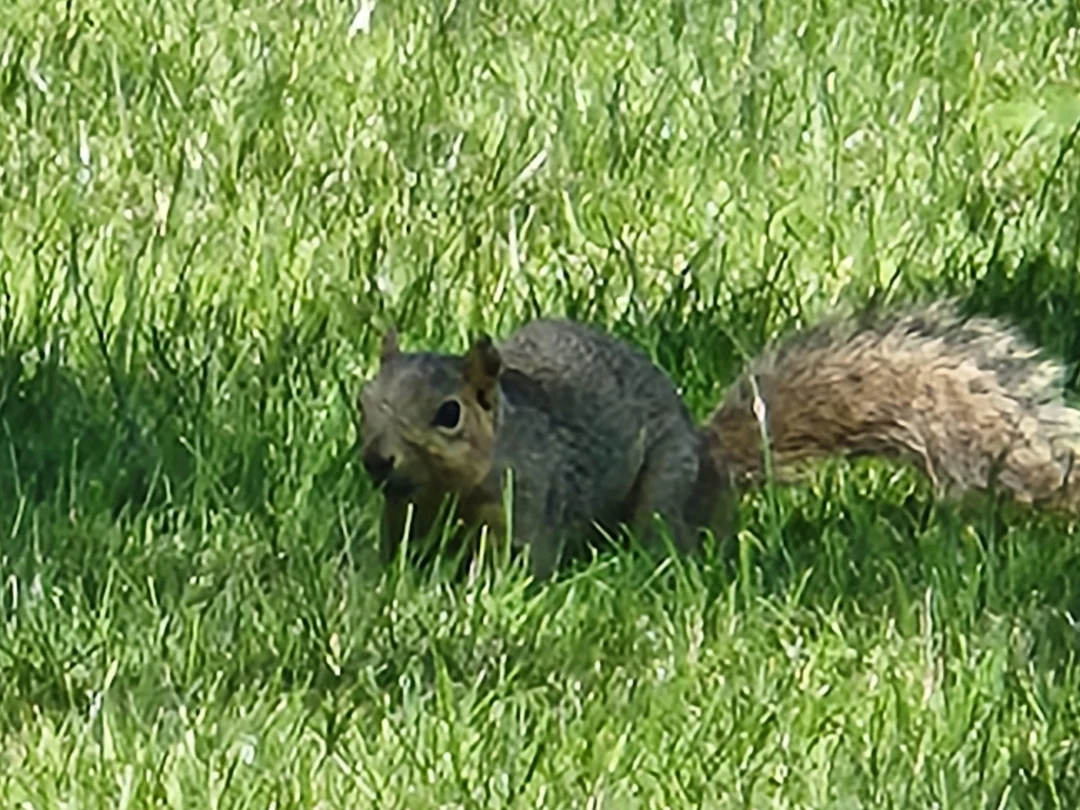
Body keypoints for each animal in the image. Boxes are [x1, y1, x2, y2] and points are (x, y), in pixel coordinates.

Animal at [356, 301, 1080, 580]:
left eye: (449, 413)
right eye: (362, 400)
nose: (375, 460)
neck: (443, 490)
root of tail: (710, 465)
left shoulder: (534, 495)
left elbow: (526, 560)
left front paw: (484, 592)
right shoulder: (405, 512)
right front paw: (384, 581)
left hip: (665, 485)